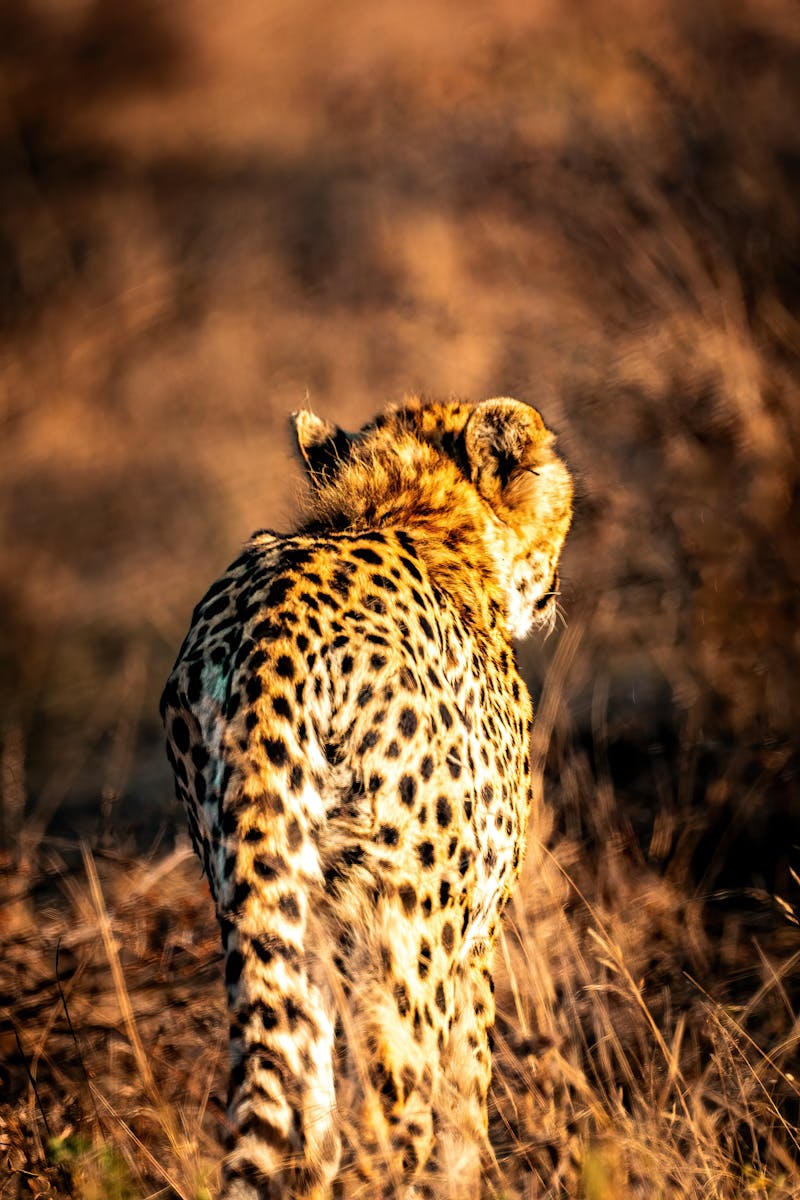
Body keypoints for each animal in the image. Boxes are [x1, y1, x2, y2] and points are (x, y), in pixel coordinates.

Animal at [161, 395, 573, 1199]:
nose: (552, 591)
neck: (405, 512)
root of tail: (275, 621)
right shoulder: (474, 942)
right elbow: (465, 1105)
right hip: (405, 934)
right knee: (391, 1119)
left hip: (271, 916)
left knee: (304, 1116)